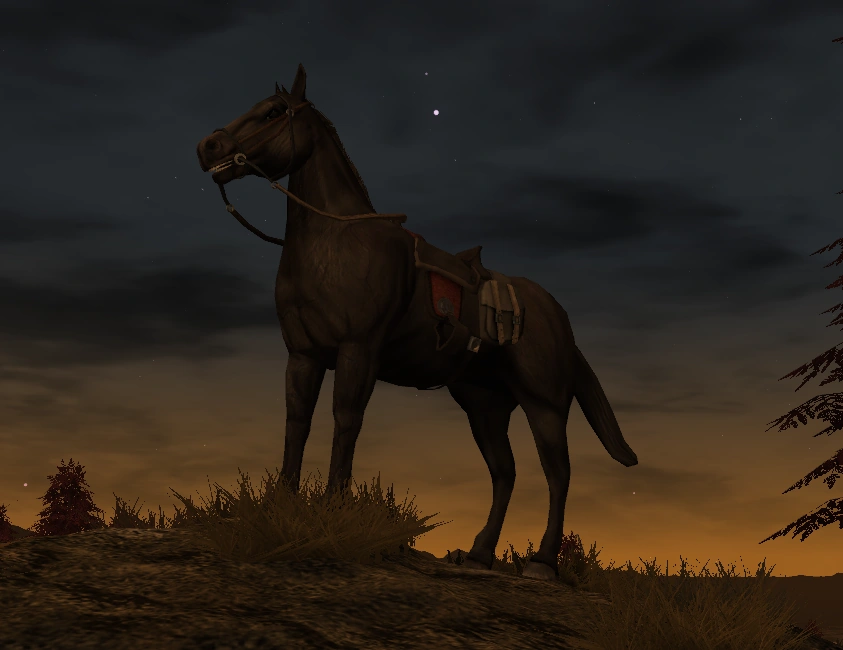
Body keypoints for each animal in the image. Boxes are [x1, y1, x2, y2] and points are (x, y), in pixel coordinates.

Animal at [196, 63, 638, 581]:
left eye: (273, 111)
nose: (207, 147)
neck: (333, 243)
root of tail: (556, 313)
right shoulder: (303, 355)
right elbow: (296, 420)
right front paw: (281, 503)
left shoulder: (358, 351)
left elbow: (345, 419)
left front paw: (333, 506)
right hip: (485, 406)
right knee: (505, 472)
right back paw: (479, 553)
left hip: (544, 404)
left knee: (557, 473)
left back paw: (543, 563)